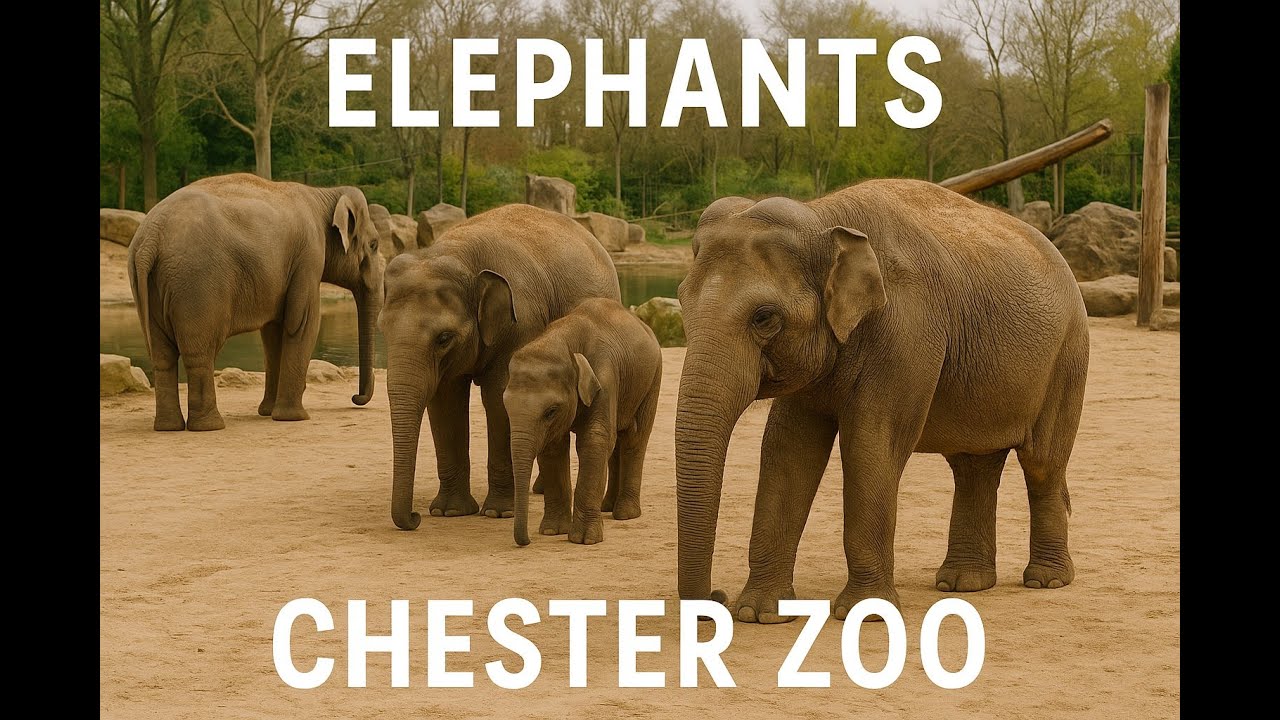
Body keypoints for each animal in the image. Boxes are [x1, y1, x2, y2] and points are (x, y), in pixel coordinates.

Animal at [128, 173, 385, 431]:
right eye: (374, 245)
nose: (355, 398)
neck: (324, 194)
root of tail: (150, 237)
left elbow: (272, 333)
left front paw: (267, 412)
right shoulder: (309, 257)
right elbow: (302, 324)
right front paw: (294, 417)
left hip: (152, 286)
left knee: (162, 355)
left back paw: (168, 426)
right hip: (196, 283)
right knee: (200, 352)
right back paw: (210, 426)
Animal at [378, 204, 621, 528]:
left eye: (444, 338)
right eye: (382, 329)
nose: (416, 518)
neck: (456, 252)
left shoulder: (522, 321)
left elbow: (498, 398)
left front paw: (497, 513)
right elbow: (445, 402)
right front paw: (449, 512)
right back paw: (537, 489)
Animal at [504, 298, 663, 547]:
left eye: (550, 411)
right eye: (506, 407)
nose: (527, 541)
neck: (563, 340)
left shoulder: (605, 376)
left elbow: (594, 440)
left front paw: (584, 540)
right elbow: (553, 447)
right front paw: (552, 531)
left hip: (652, 378)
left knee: (634, 439)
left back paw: (625, 514)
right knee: (616, 442)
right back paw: (607, 507)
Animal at [674, 179, 1089, 623]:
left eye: (764, 317)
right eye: (680, 301)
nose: (716, 597)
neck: (824, 218)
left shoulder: (908, 328)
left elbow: (872, 443)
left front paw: (865, 614)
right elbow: (788, 448)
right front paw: (760, 613)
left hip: (1068, 356)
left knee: (1042, 463)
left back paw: (1045, 581)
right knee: (973, 465)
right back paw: (963, 583)